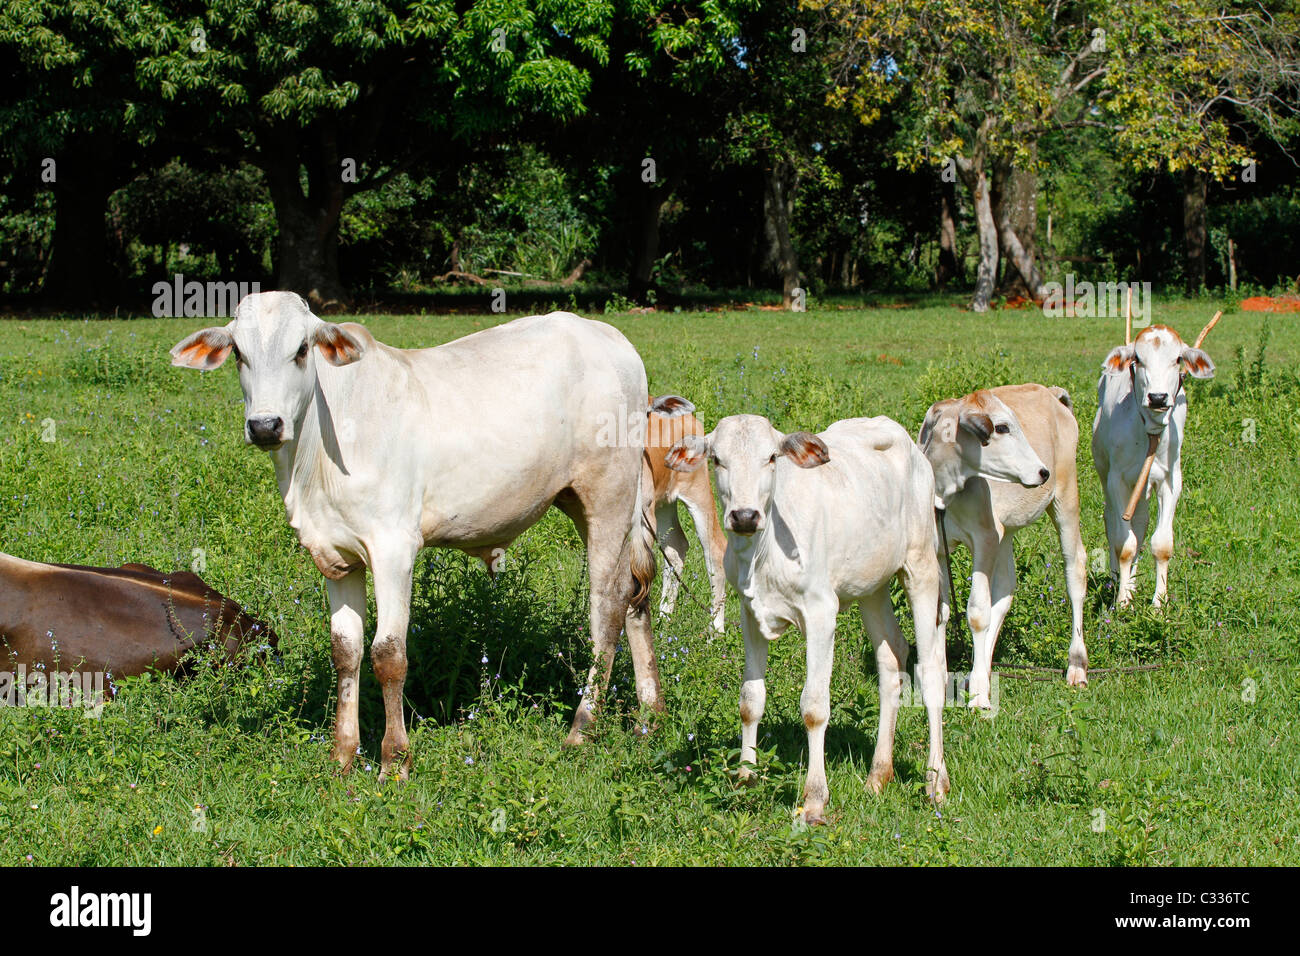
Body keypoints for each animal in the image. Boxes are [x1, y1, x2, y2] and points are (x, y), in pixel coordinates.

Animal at [171, 292, 684, 779]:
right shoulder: (336, 555)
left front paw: (394, 761)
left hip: (608, 494)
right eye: (239, 352)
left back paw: (583, 727)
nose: (264, 425)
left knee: (608, 605)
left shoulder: (393, 546)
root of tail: (610, 338)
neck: (313, 461)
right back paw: (650, 714)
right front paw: (342, 756)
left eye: (301, 349)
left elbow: (388, 654)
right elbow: (346, 651)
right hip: (582, 500)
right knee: (635, 593)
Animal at [645, 397, 727, 633]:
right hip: (663, 502)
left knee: (715, 548)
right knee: (675, 546)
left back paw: (716, 630)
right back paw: (664, 619)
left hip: (697, 488)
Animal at [666, 414, 950, 821]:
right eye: (716, 459)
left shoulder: (821, 613)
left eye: (772, 457)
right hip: (873, 586)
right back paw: (878, 775)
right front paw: (745, 779)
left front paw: (815, 798)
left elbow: (814, 708)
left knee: (931, 673)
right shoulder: (750, 614)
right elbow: (750, 700)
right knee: (891, 656)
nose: (745, 516)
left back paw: (935, 782)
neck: (763, 553)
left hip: (921, 566)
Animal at [918, 385, 1089, 703]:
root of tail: (1051, 393)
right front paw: (941, 679)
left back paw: (1076, 665)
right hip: (1005, 531)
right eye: (1002, 427)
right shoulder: (938, 548)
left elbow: (977, 612)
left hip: (1065, 498)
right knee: (1006, 589)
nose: (1042, 471)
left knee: (1075, 572)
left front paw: (979, 697)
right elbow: (940, 613)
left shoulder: (985, 539)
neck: (945, 493)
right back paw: (979, 673)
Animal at [1092, 322, 1216, 608]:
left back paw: (1132, 583)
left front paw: (1159, 604)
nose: (1158, 397)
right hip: (1105, 473)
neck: (1149, 431)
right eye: (1138, 359)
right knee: (1112, 522)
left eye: (1178, 359)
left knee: (1140, 525)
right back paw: (1117, 580)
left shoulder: (1170, 482)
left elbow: (1161, 545)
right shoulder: (1117, 481)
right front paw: (1122, 602)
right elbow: (1124, 544)